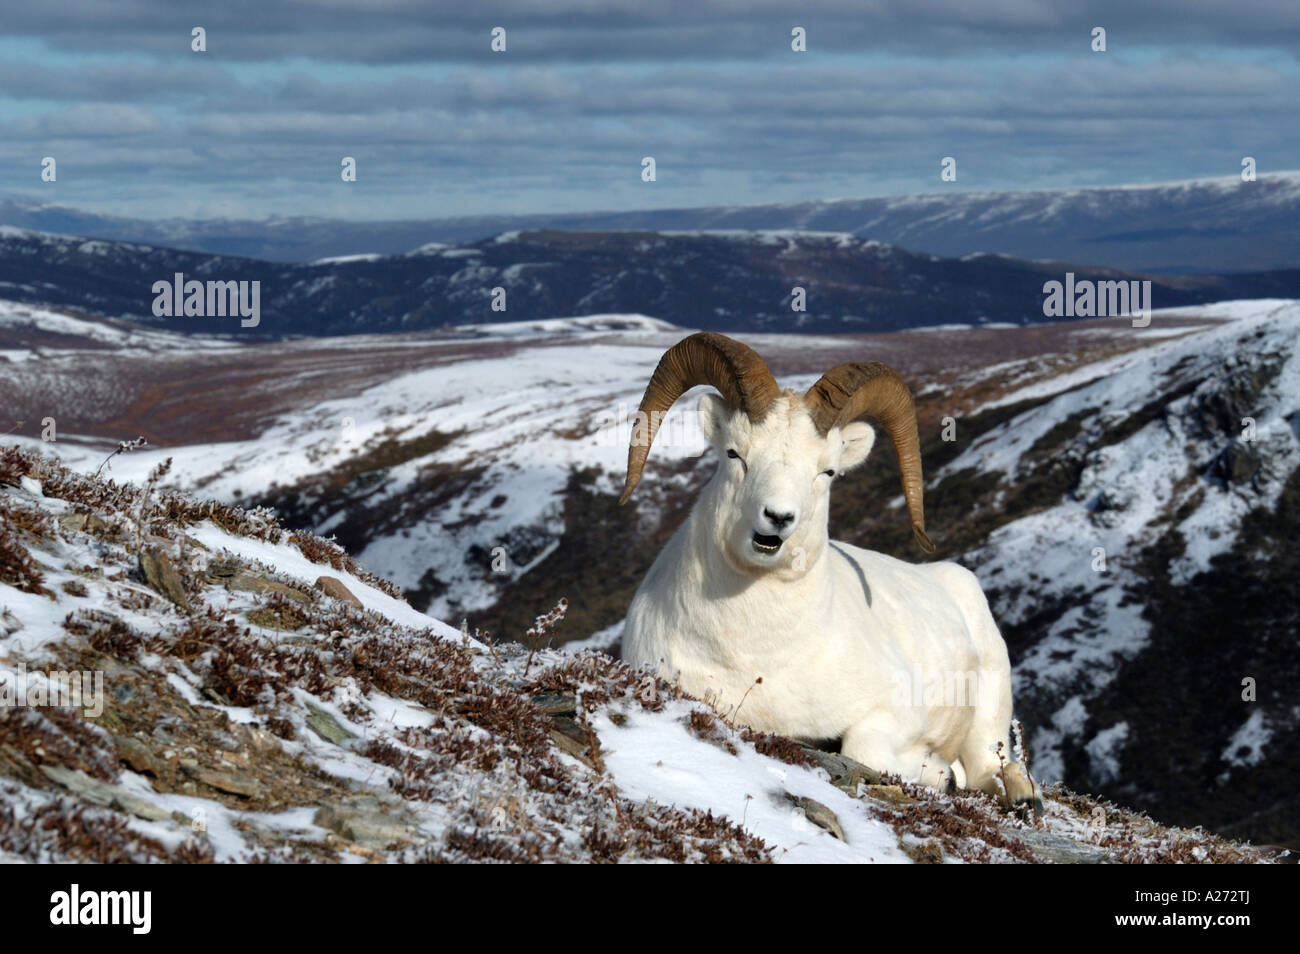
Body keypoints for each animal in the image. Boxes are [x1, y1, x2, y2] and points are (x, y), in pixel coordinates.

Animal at [618, 332, 1038, 805]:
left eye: (828, 471)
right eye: (734, 454)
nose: (777, 519)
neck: (758, 656)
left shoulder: (894, 712)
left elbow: (861, 746)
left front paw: (940, 774)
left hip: (989, 709)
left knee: (990, 768)